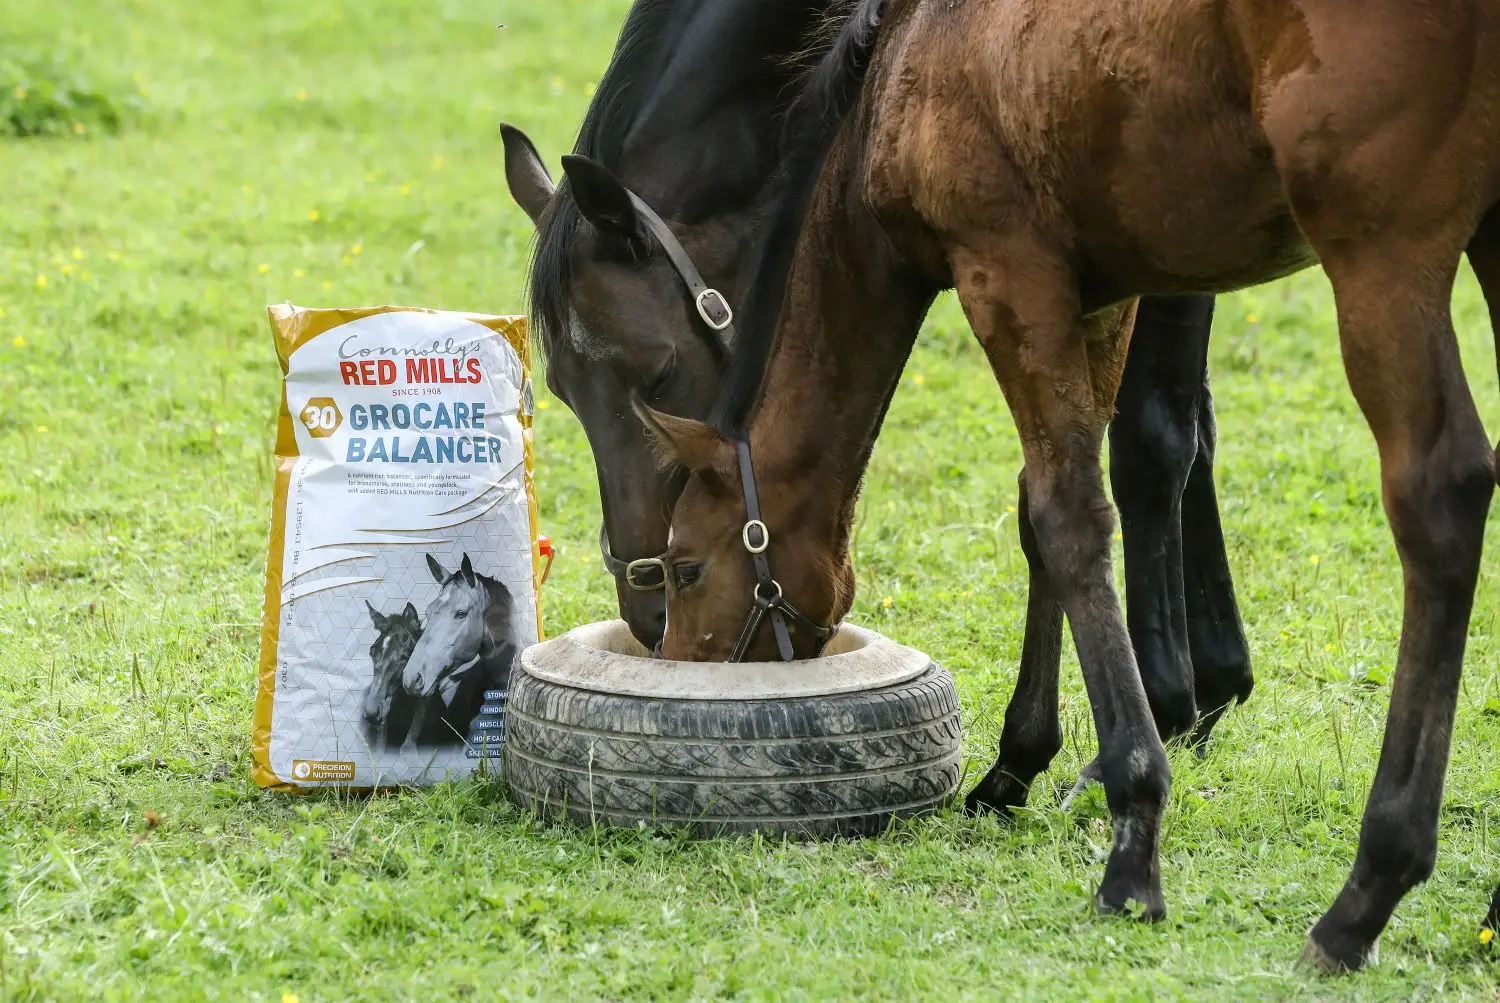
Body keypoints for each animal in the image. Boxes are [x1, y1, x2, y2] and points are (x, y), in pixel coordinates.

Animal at [502, 0, 1252, 770]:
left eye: (653, 373)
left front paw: (1169, 696)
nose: (647, 615)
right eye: (560, 389)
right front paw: (1215, 676)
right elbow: (1184, 431)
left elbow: (1156, 440)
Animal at [643, 0, 1500, 971]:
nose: (681, 683)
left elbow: (1069, 516)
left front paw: (1132, 830)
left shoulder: (1008, 277)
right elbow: (1039, 504)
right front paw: (1019, 759)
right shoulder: (1103, 292)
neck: (907, 60)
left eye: (684, 567)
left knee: (1438, 500)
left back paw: (1366, 892)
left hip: (1381, 253)